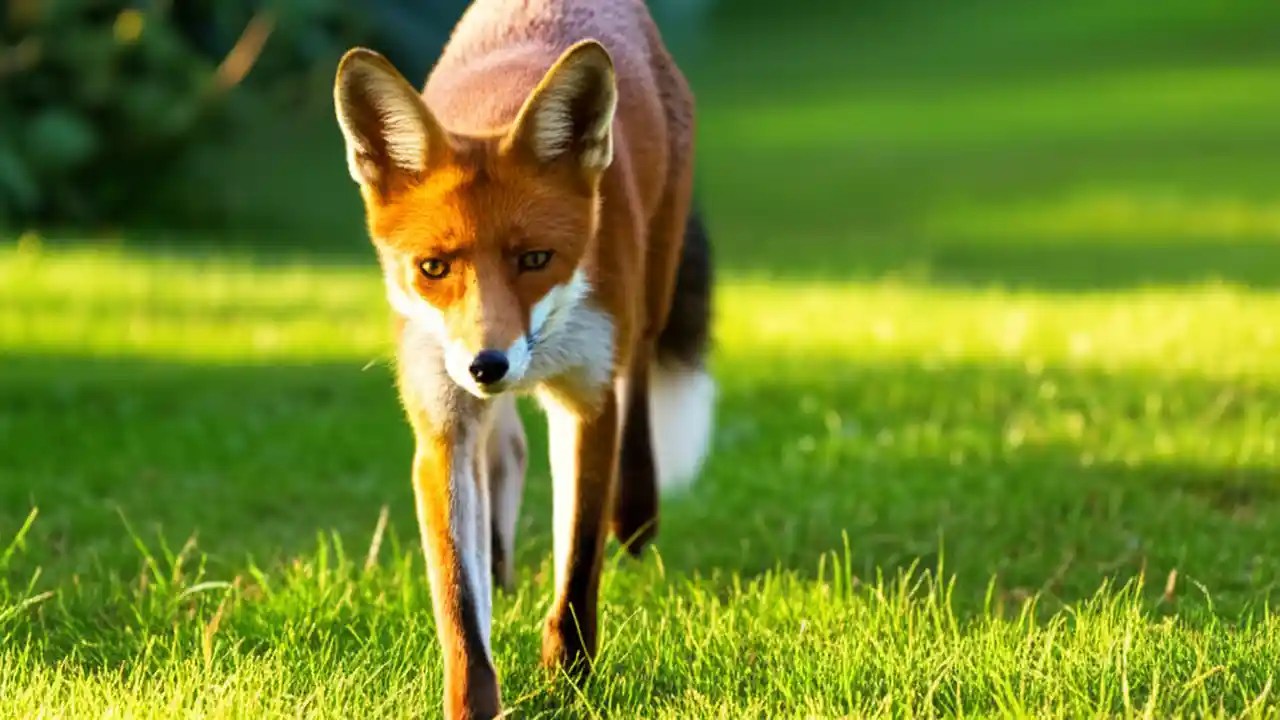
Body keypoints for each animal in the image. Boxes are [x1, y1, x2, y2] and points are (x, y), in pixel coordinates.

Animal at [332, 1, 713, 717]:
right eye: (433, 268)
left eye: (535, 258)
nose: (488, 365)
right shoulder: (442, 424)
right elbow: (459, 605)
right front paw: (473, 702)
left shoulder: (587, 399)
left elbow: (578, 564)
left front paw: (568, 679)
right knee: (505, 449)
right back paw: (502, 561)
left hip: (648, 299)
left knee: (639, 391)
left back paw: (635, 520)